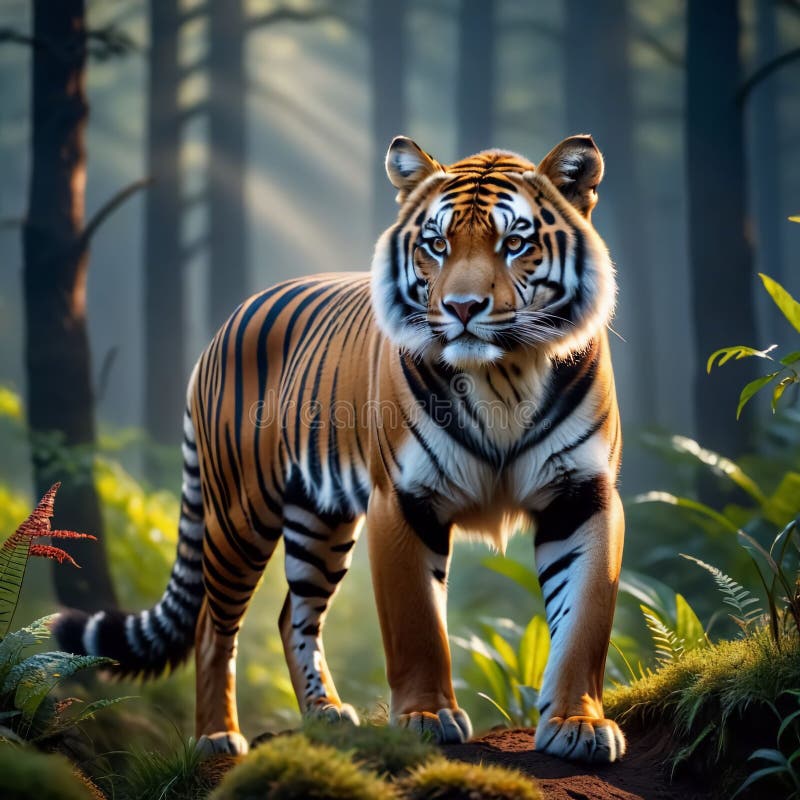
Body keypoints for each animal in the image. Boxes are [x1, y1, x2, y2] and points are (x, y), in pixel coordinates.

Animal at [55, 134, 625, 763]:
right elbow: (417, 624)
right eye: (437, 245)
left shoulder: (583, 496)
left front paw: (578, 724)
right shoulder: (404, 499)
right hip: (239, 516)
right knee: (212, 625)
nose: (462, 307)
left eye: (515, 243)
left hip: (319, 519)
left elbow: (584, 620)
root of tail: (225, 323)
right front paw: (428, 717)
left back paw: (325, 714)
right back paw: (217, 738)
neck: (504, 377)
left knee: (293, 616)